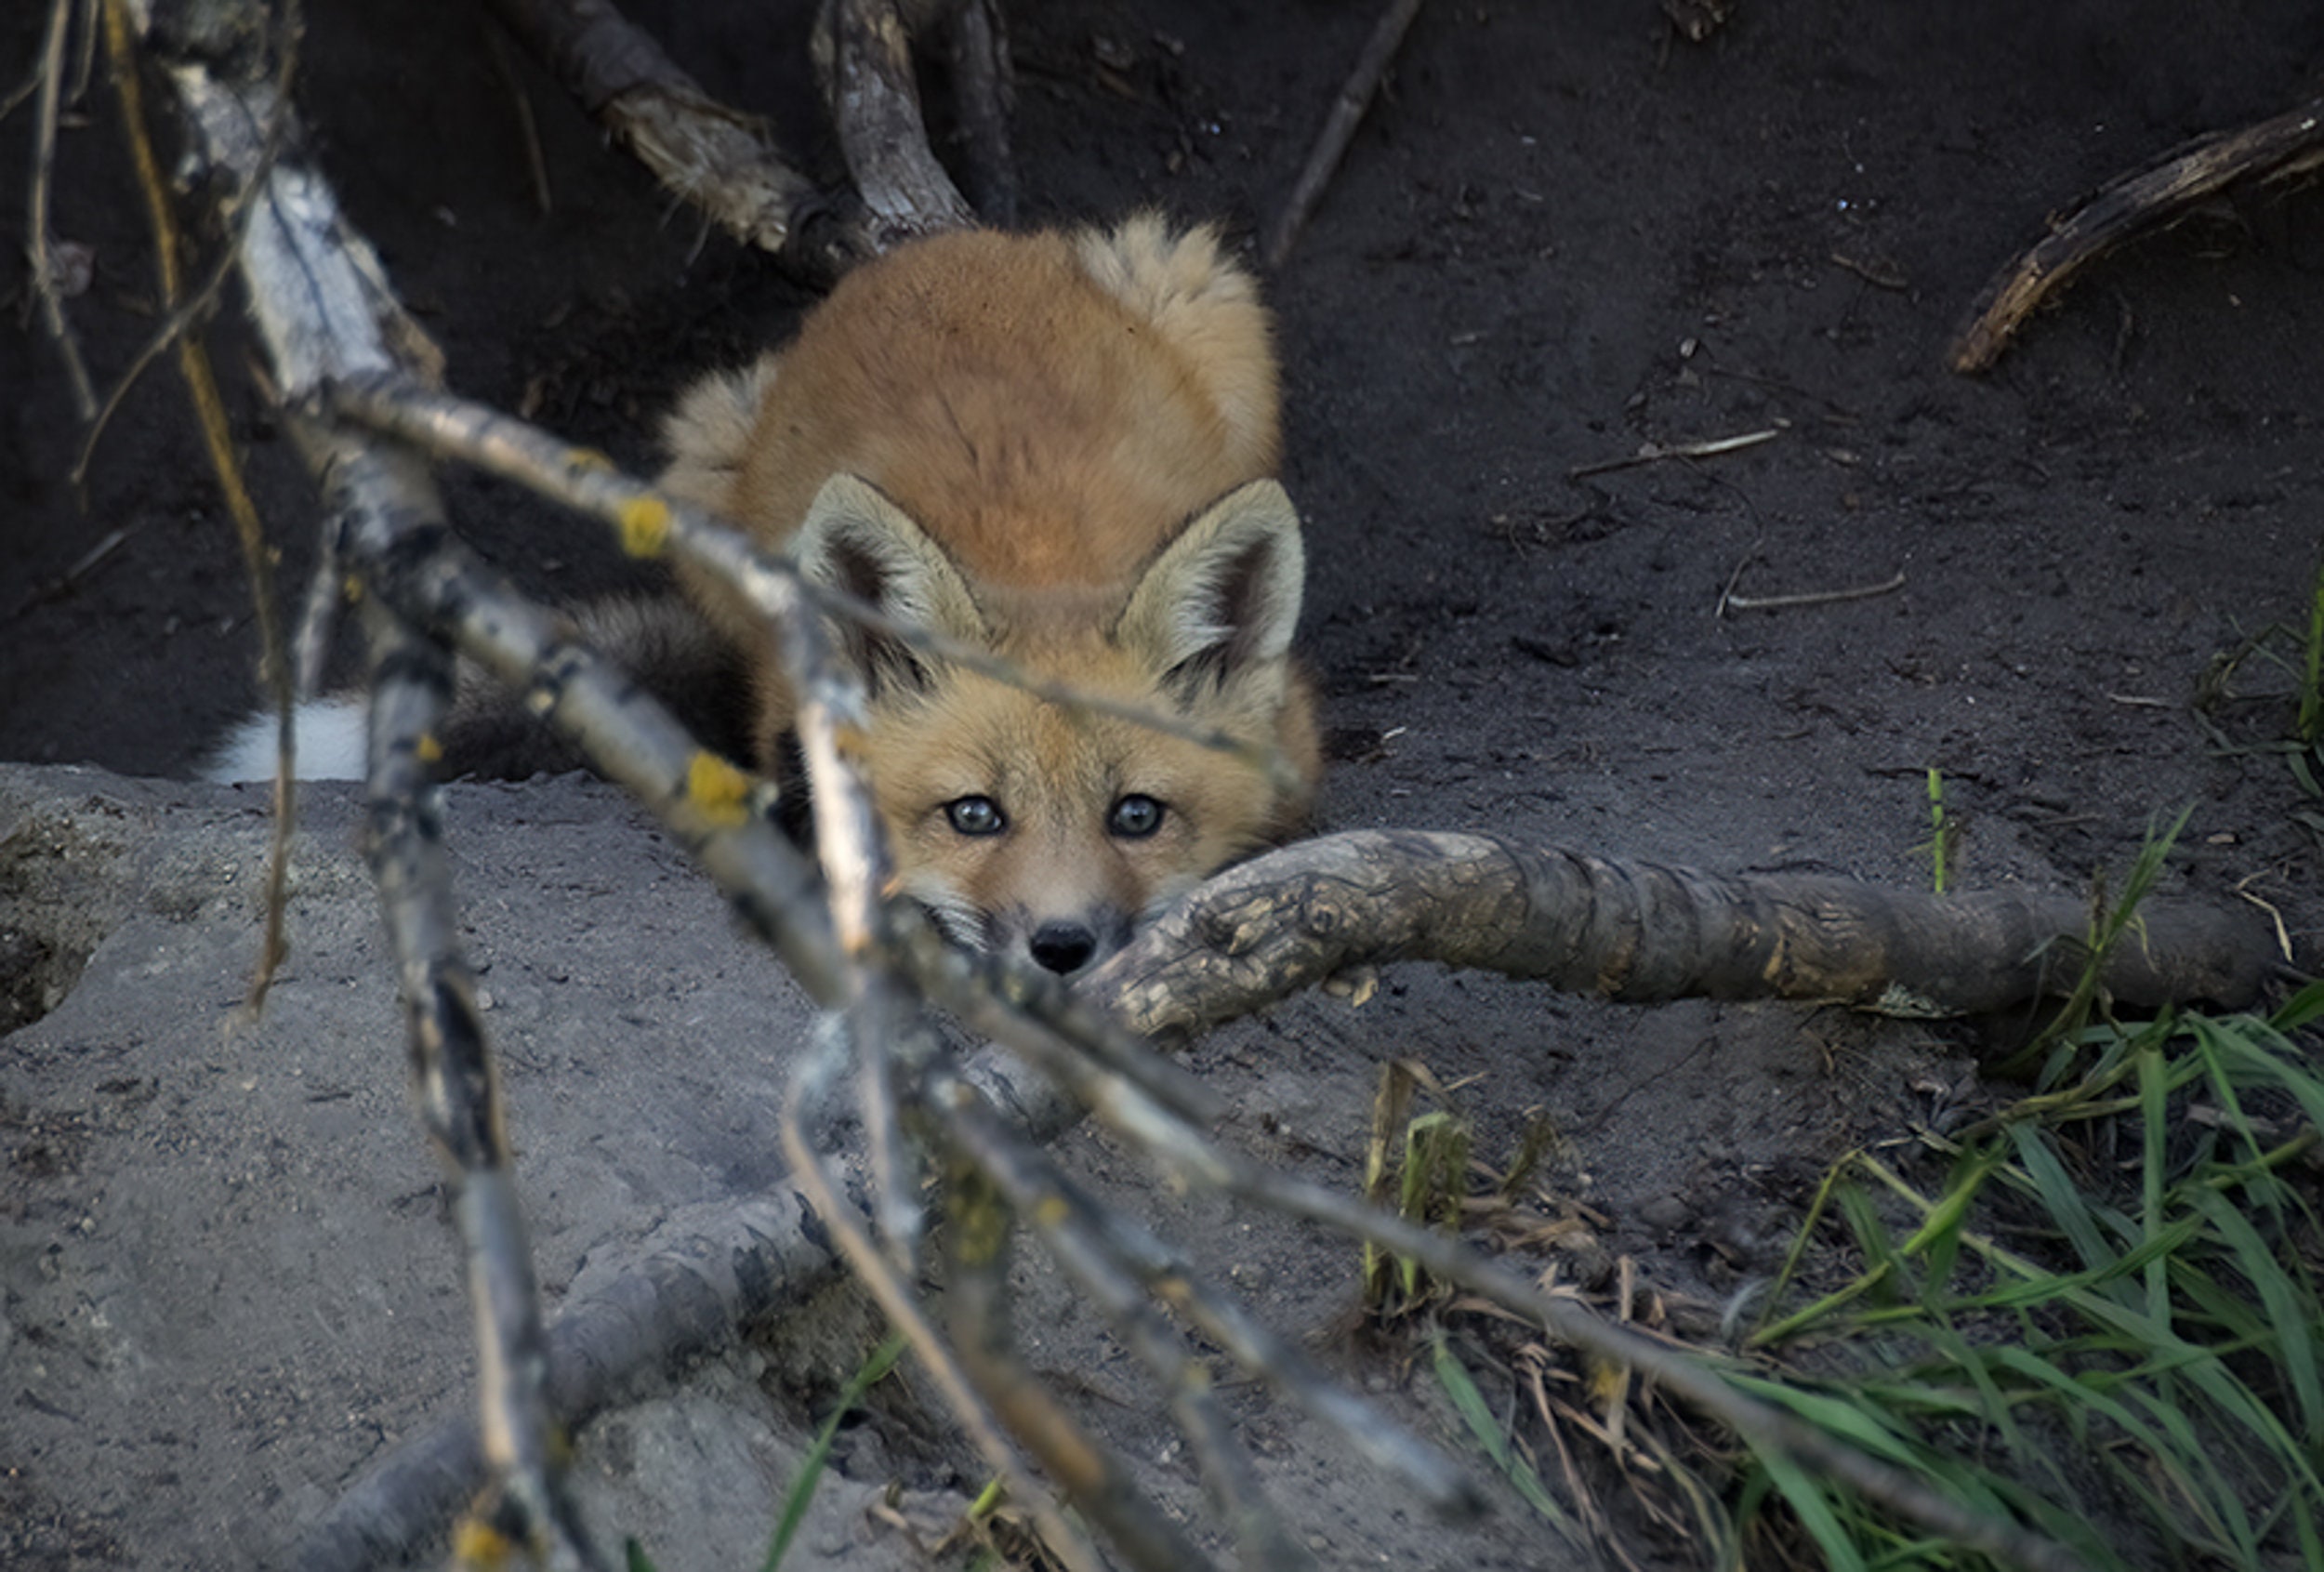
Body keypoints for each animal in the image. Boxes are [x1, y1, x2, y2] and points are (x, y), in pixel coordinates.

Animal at [209, 217, 1321, 975]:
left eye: (1136, 814)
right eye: (974, 814)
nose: (1061, 946)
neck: (1035, 551)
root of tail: (926, 248)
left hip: (1202, 287)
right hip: (697, 459)